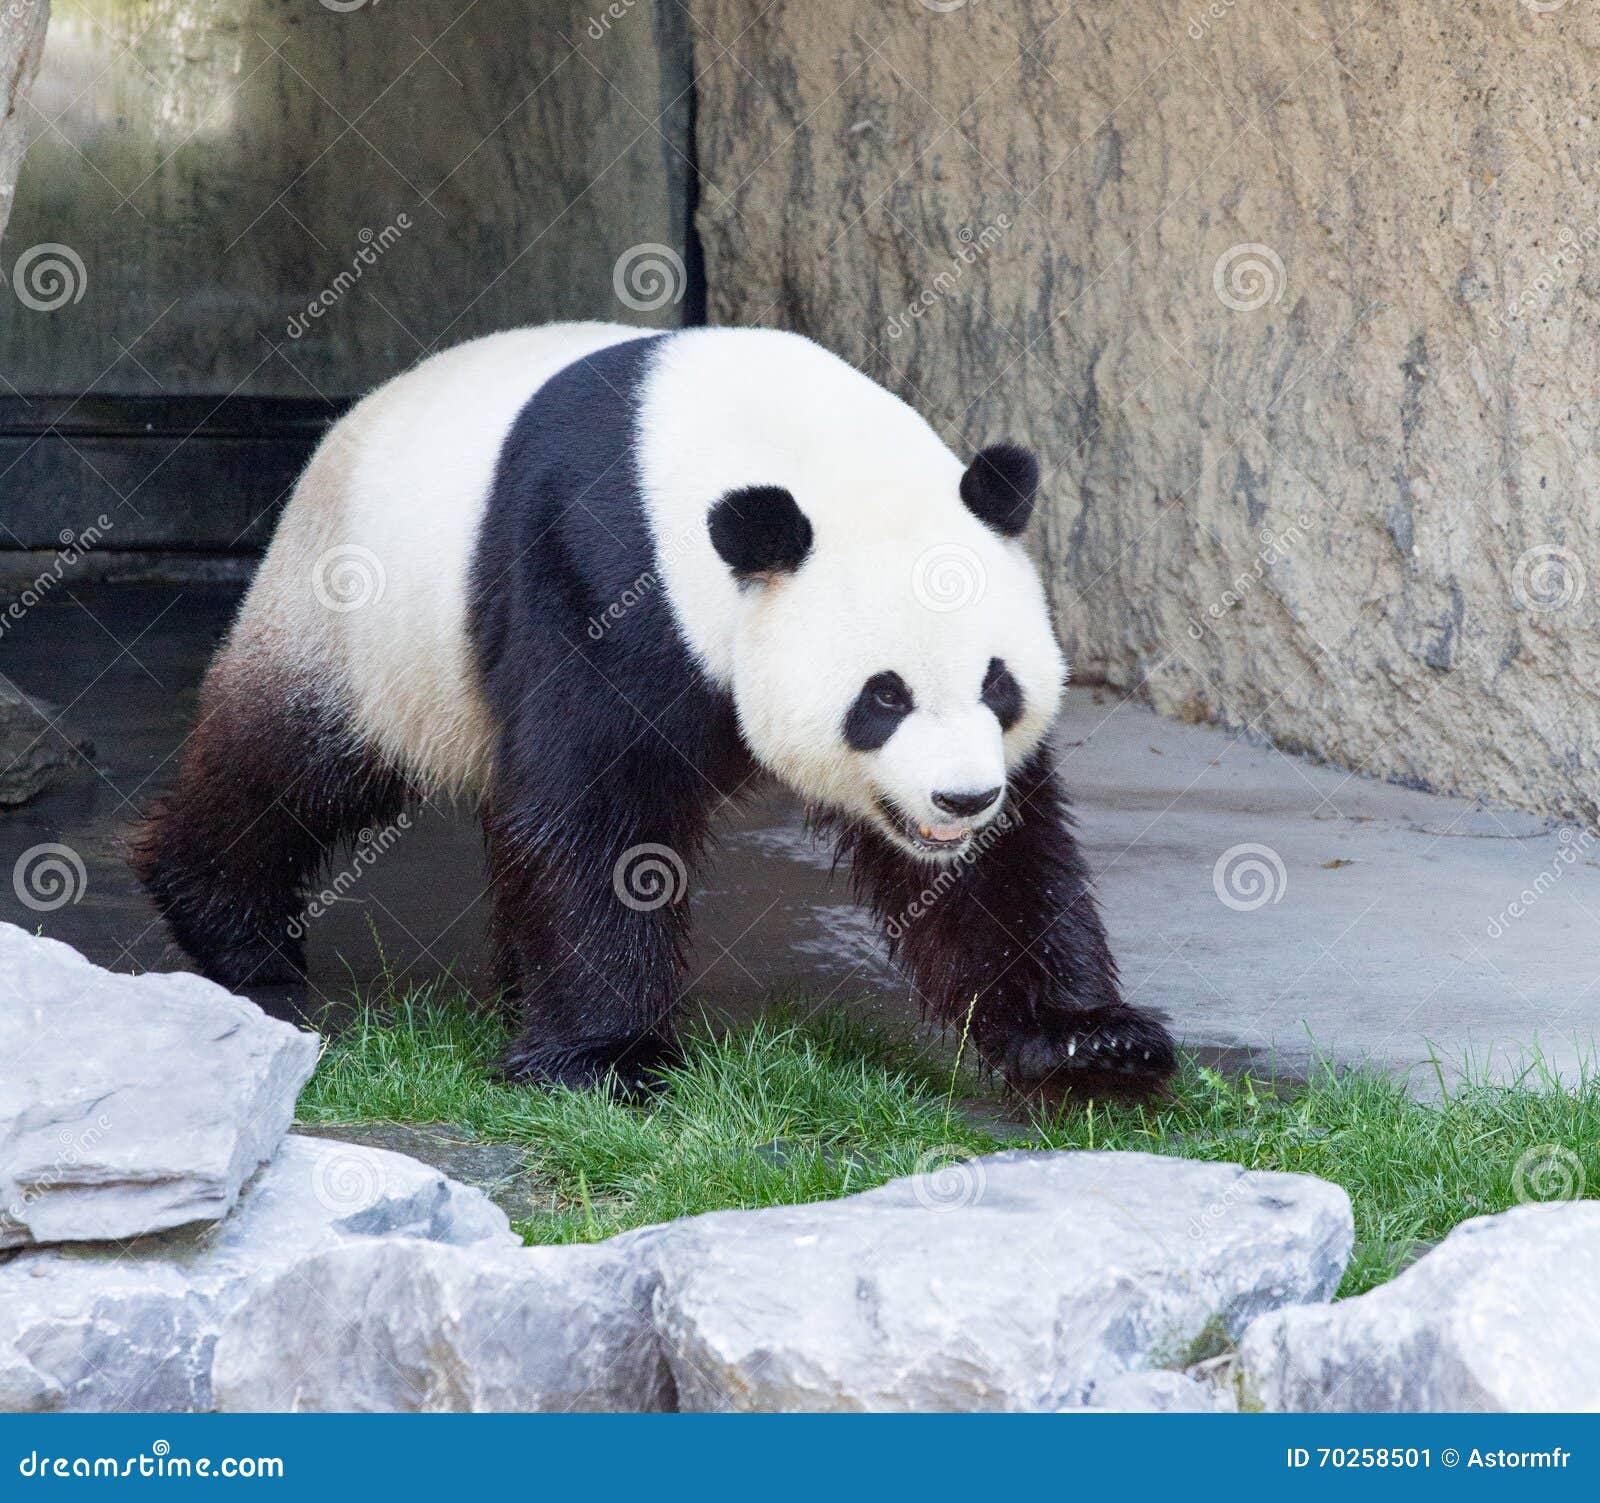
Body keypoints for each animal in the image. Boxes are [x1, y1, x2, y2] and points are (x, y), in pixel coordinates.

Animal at [132, 321, 1176, 1097]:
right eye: (883, 696)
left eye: (999, 685)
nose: (959, 799)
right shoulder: (602, 571)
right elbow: (598, 810)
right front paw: (608, 1061)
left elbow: (1003, 862)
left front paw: (1089, 1040)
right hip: (361, 625)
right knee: (295, 763)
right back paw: (229, 925)